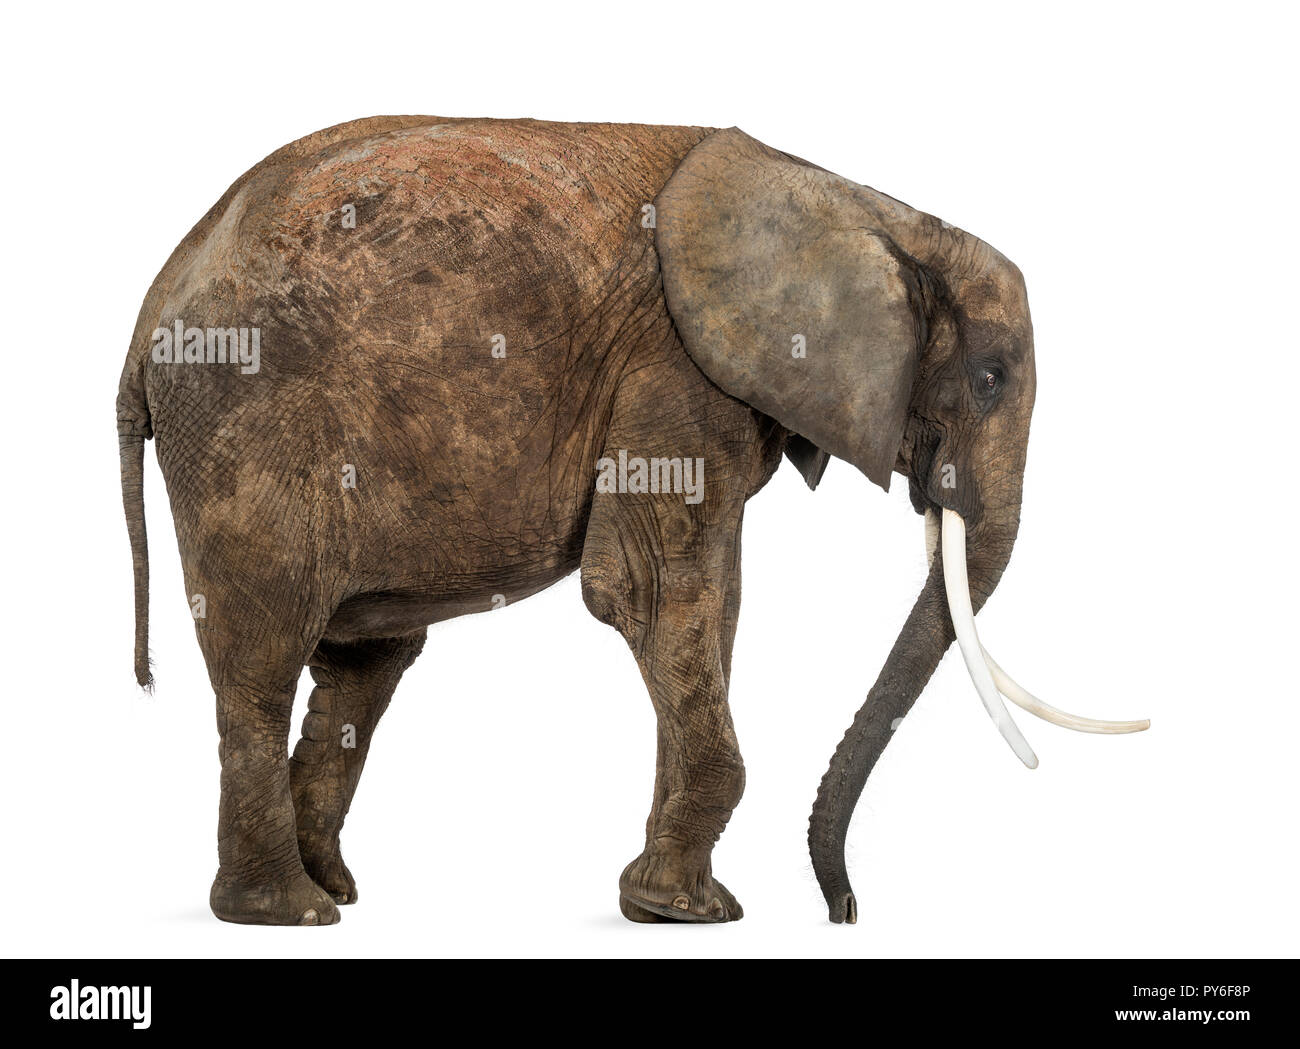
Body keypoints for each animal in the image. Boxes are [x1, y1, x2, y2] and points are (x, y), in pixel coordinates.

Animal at [117, 116, 1147, 926]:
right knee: (264, 655)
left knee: (361, 665)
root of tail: (153, 303)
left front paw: (677, 904)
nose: (846, 908)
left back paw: (334, 887)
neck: (871, 209)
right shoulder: (673, 368)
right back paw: (286, 912)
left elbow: (715, 604)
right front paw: (682, 911)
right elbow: (651, 596)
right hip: (247, 425)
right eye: (991, 378)